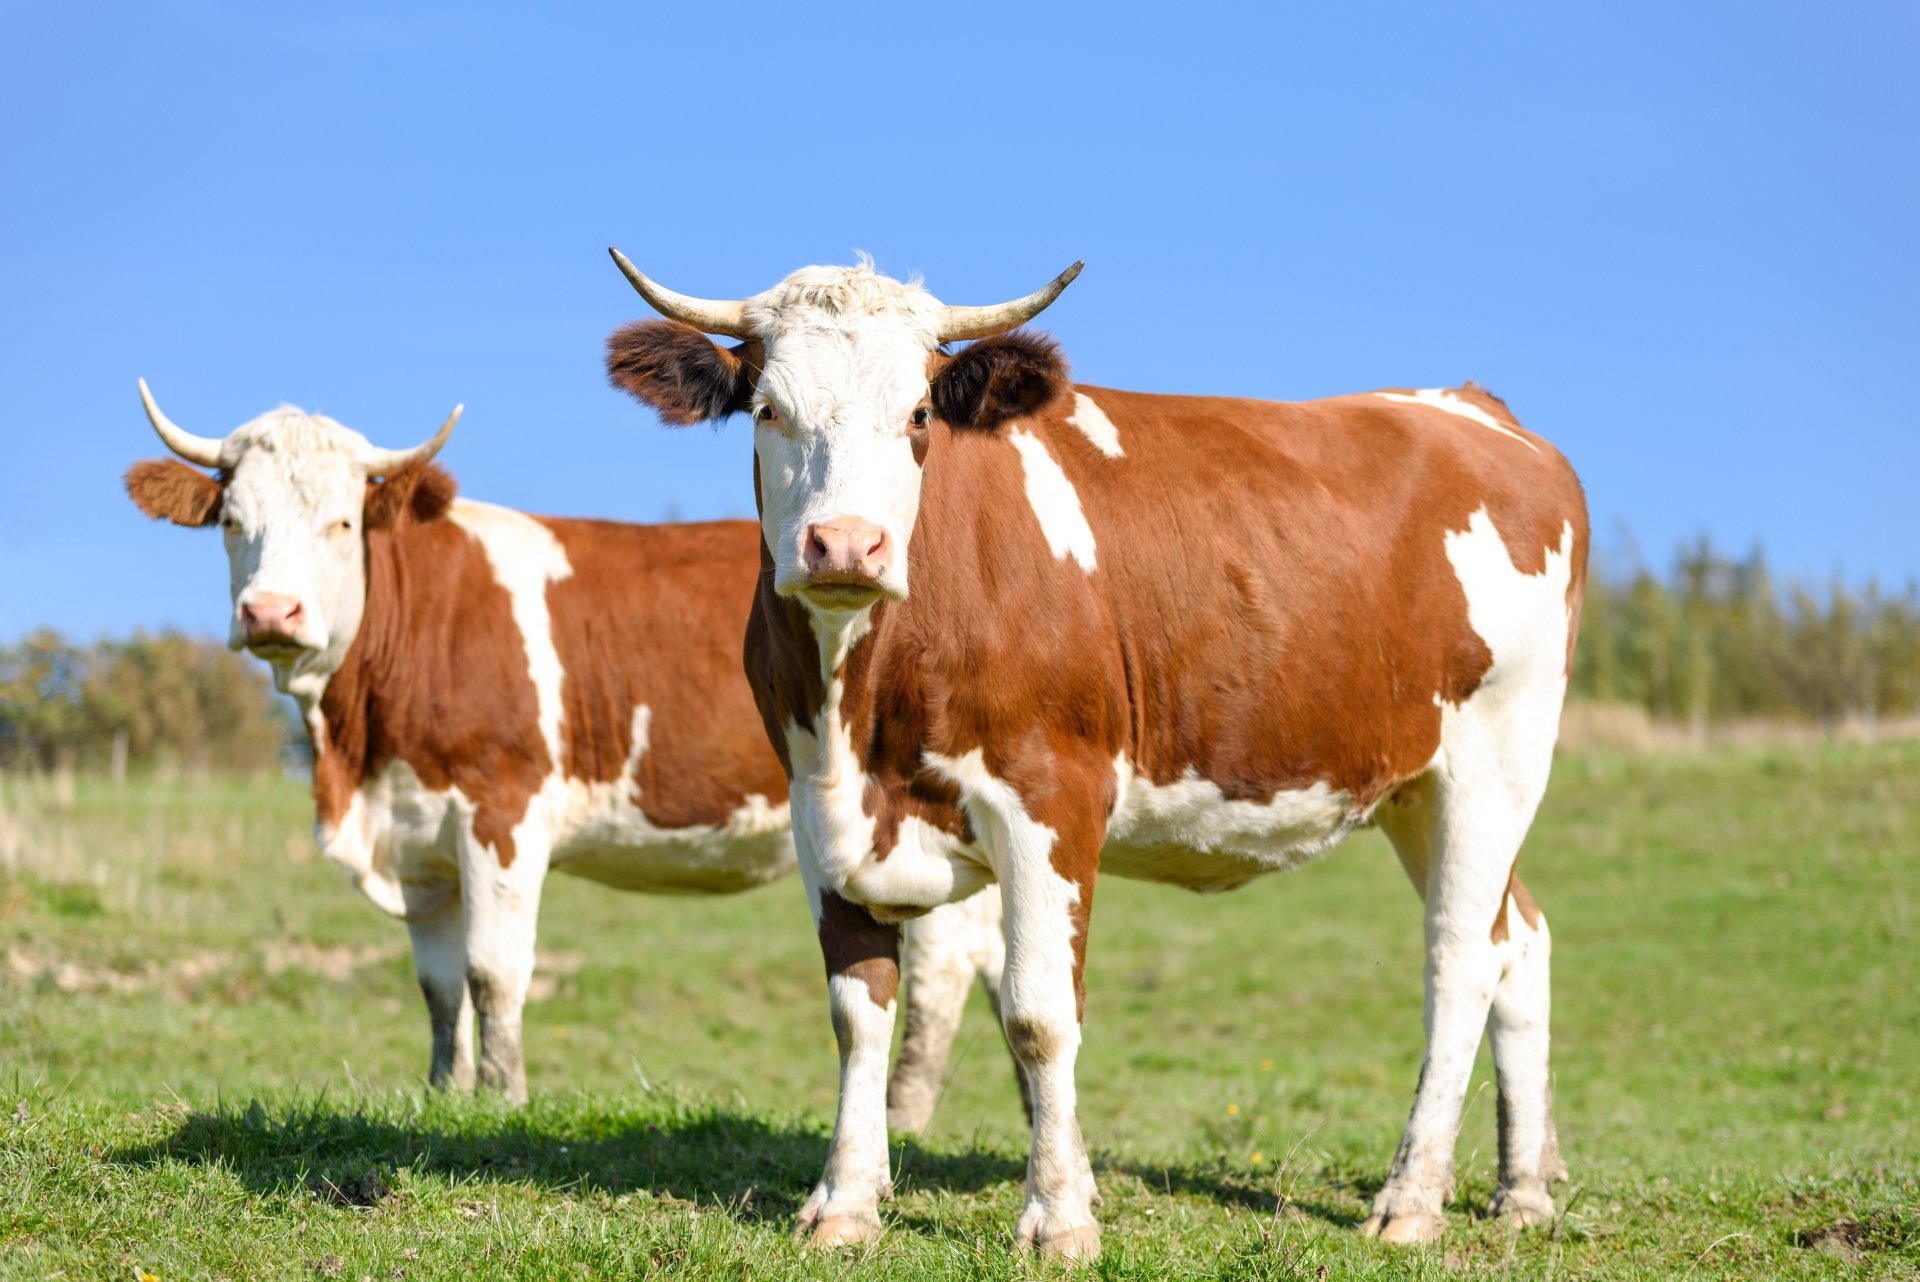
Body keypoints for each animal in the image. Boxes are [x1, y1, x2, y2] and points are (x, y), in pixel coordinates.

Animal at [122, 381, 1013, 1121]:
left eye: (341, 523)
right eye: (231, 523)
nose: (271, 612)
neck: (358, 752)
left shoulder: (502, 811)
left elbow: (493, 970)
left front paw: (502, 1098)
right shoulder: (419, 840)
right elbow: (439, 986)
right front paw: (444, 1092)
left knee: (941, 971)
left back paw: (904, 1114)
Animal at [603, 253, 1589, 1258]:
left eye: (917, 415)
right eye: (769, 409)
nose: (846, 544)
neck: (864, 705)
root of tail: (1470, 406)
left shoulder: (1052, 793)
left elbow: (1039, 1014)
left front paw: (1059, 1217)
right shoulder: (816, 806)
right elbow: (858, 1010)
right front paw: (845, 1203)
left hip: (1495, 759)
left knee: (1460, 960)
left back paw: (1412, 1199)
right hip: (1413, 790)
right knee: (1520, 938)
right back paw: (1522, 1188)